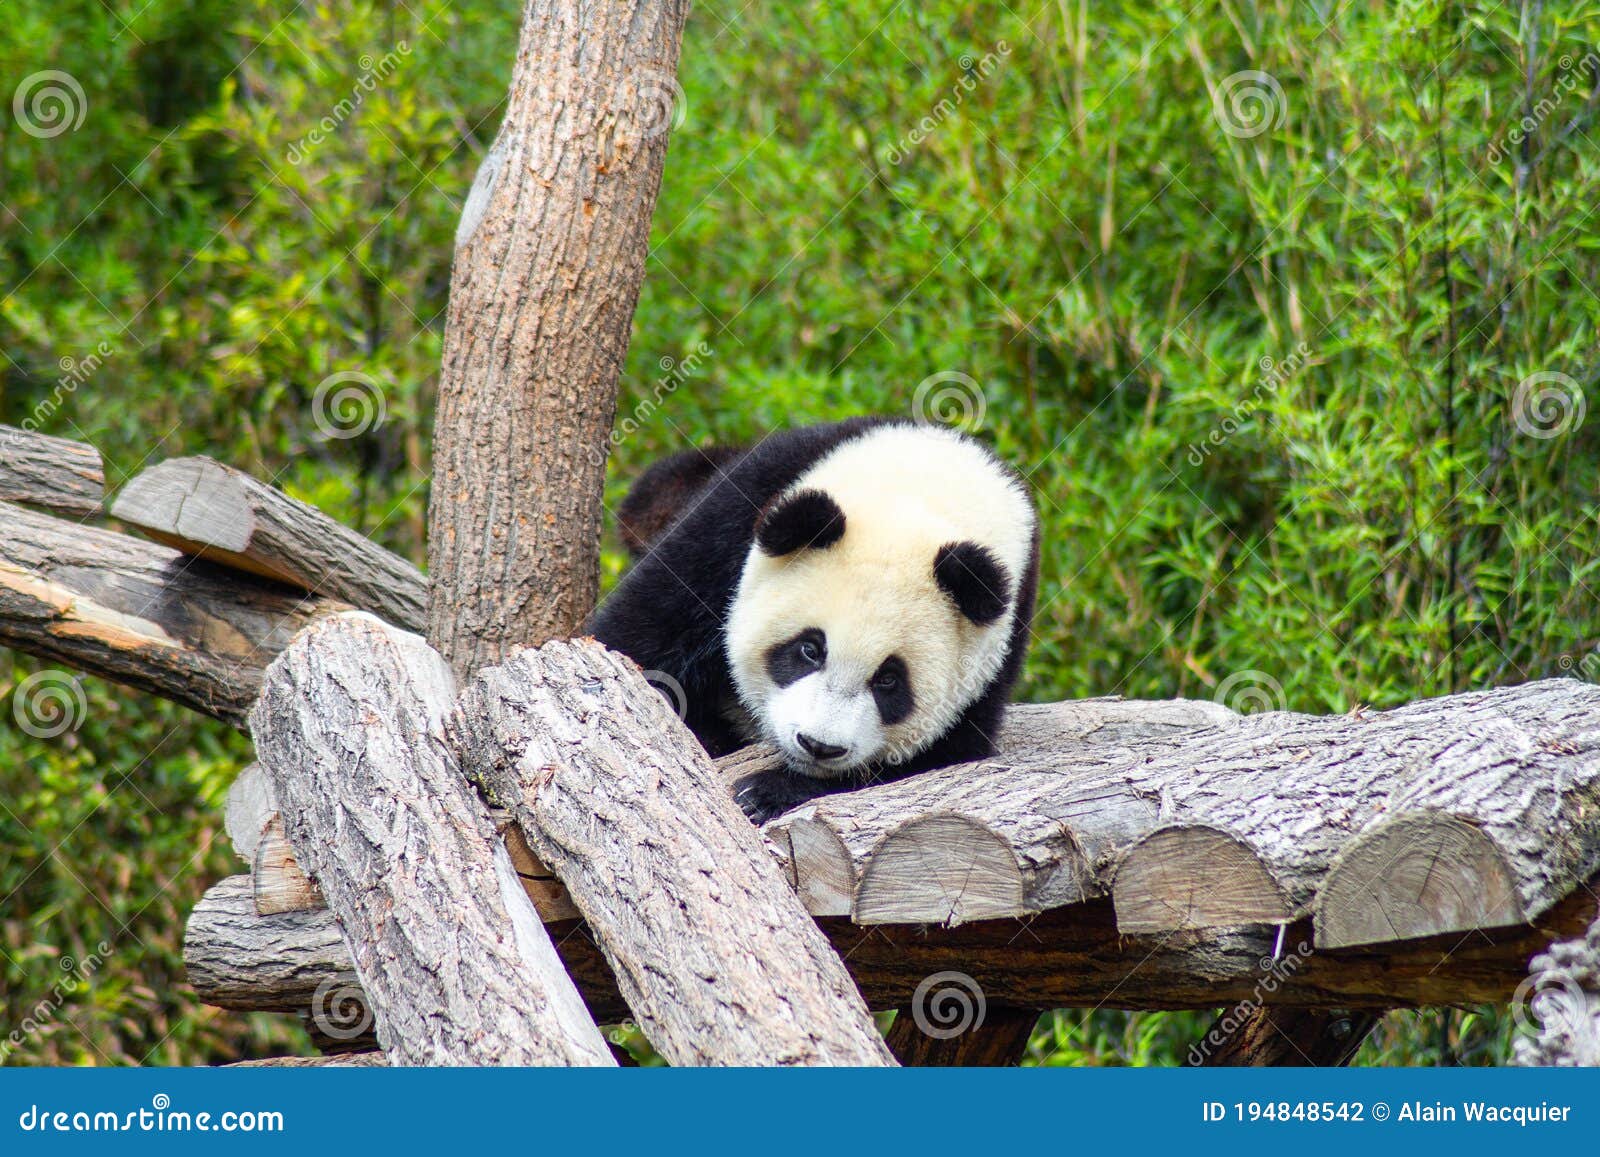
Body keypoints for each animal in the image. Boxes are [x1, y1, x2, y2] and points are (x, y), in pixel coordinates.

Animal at [586, 417, 1039, 822]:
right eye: (809, 649)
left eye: (889, 680)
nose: (819, 746)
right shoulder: (742, 509)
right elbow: (640, 639)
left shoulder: (997, 649)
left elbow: (937, 760)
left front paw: (766, 792)